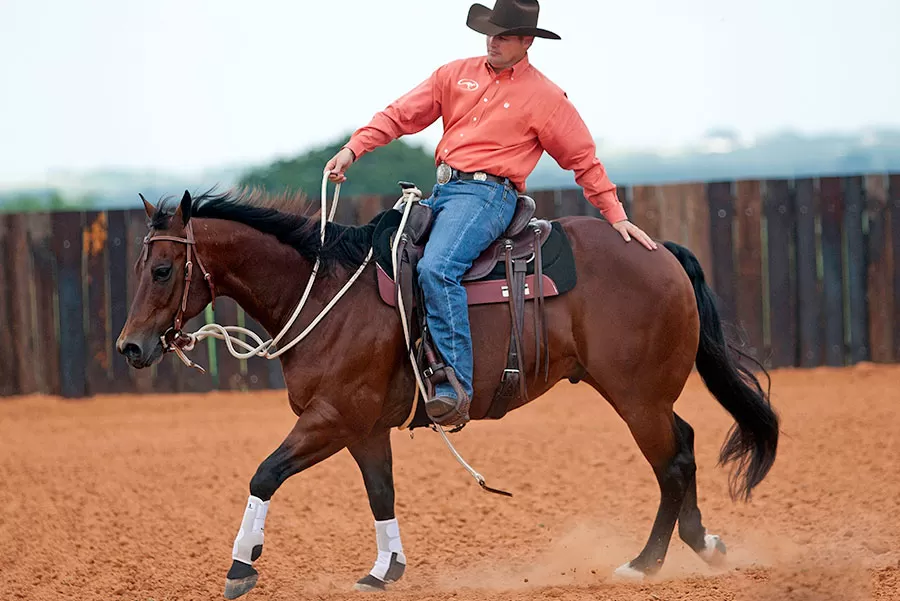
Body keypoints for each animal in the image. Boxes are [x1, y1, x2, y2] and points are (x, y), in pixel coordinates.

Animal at [116, 186, 780, 596]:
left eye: (163, 270)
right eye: (140, 267)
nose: (130, 347)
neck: (326, 292)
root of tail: (658, 249)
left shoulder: (331, 417)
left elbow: (264, 474)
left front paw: (239, 565)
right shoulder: (363, 428)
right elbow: (380, 493)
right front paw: (385, 569)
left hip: (637, 398)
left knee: (673, 462)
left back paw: (645, 564)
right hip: (647, 398)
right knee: (684, 448)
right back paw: (705, 545)